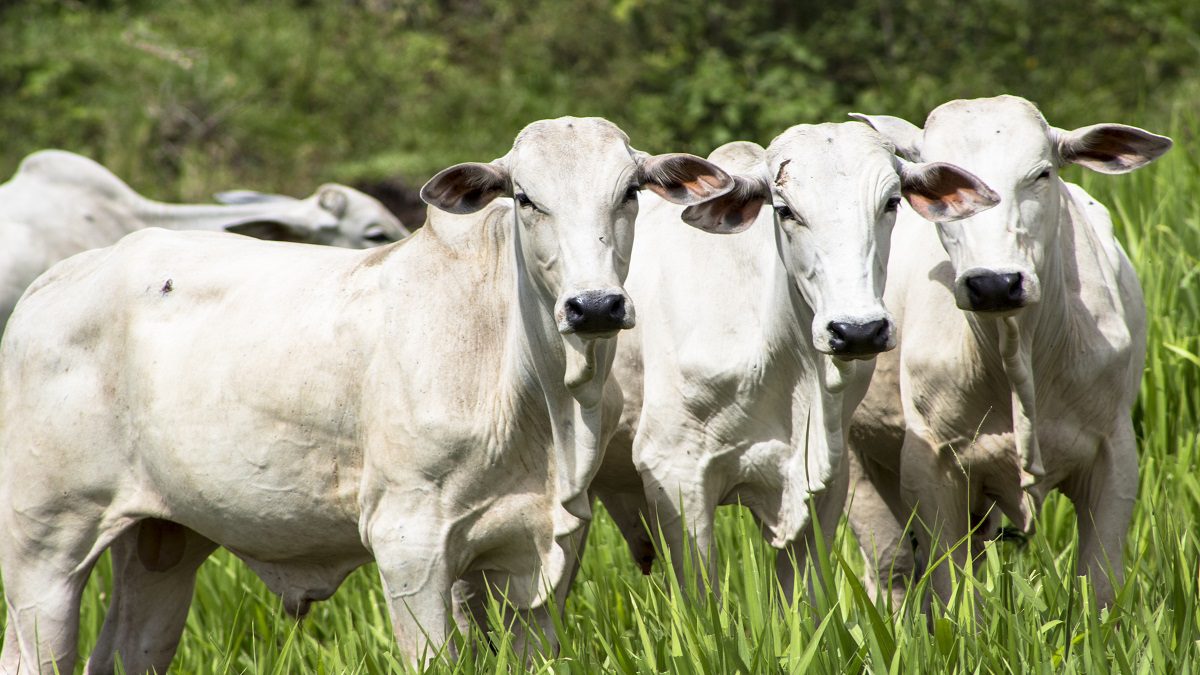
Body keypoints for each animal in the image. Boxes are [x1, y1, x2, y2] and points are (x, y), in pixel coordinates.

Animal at [846, 95, 1170, 608]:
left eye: (1041, 173)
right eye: (941, 189)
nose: (994, 283)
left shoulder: (1114, 455)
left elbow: (1099, 583)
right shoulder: (931, 466)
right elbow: (952, 591)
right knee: (891, 566)